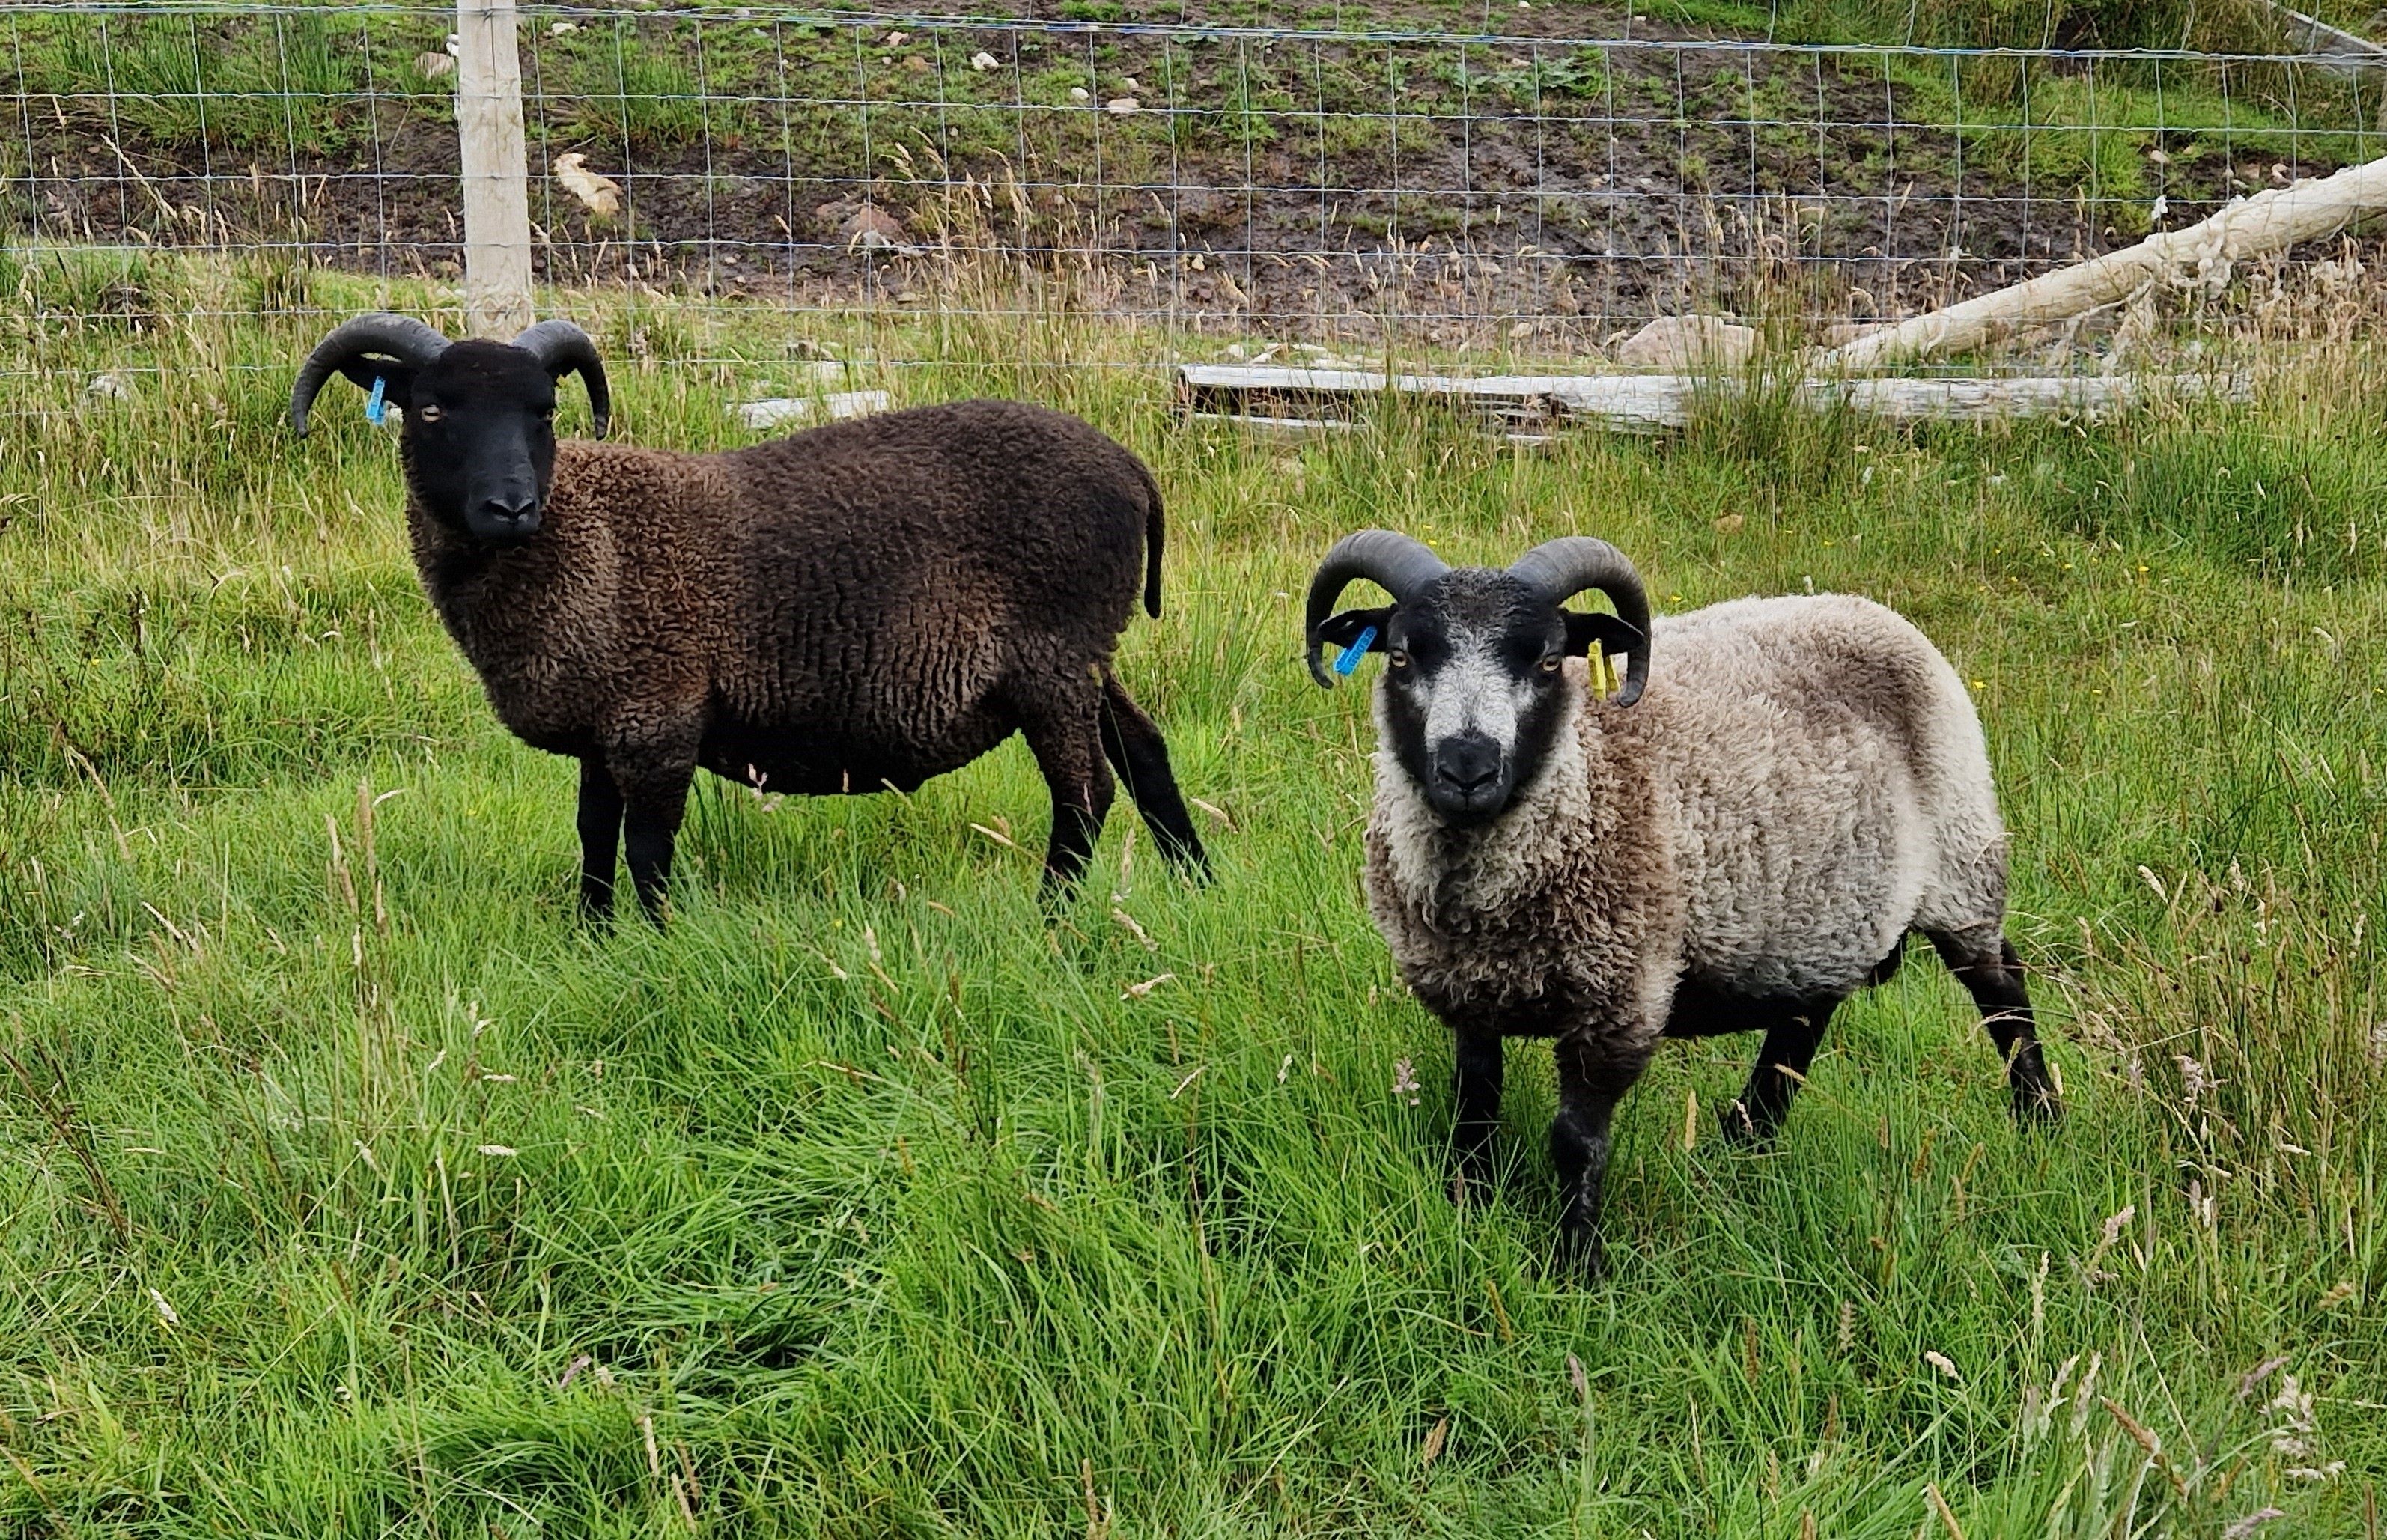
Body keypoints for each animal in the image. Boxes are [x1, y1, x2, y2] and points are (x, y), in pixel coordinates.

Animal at [290, 312, 1207, 922]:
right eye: (431, 409)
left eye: (542, 412)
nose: (510, 506)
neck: (580, 538)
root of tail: (1131, 468)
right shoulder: (603, 722)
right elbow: (593, 834)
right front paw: (592, 935)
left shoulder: (657, 715)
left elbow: (646, 847)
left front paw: (654, 944)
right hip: (1083, 652)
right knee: (1144, 753)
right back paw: (1198, 885)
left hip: (1051, 655)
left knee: (1085, 790)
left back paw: (1052, 920)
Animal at [1305, 529, 2059, 1277]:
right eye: (1403, 655)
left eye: (1548, 660)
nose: (1468, 767)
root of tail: (1876, 612)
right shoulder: (1471, 994)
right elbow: (1475, 1110)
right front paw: (1470, 1213)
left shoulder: (1621, 998)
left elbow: (1576, 1141)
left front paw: (1577, 1269)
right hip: (1824, 909)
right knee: (1805, 1020)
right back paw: (1746, 1140)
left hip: (1962, 858)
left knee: (2003, 991)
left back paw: (2040, 1122)